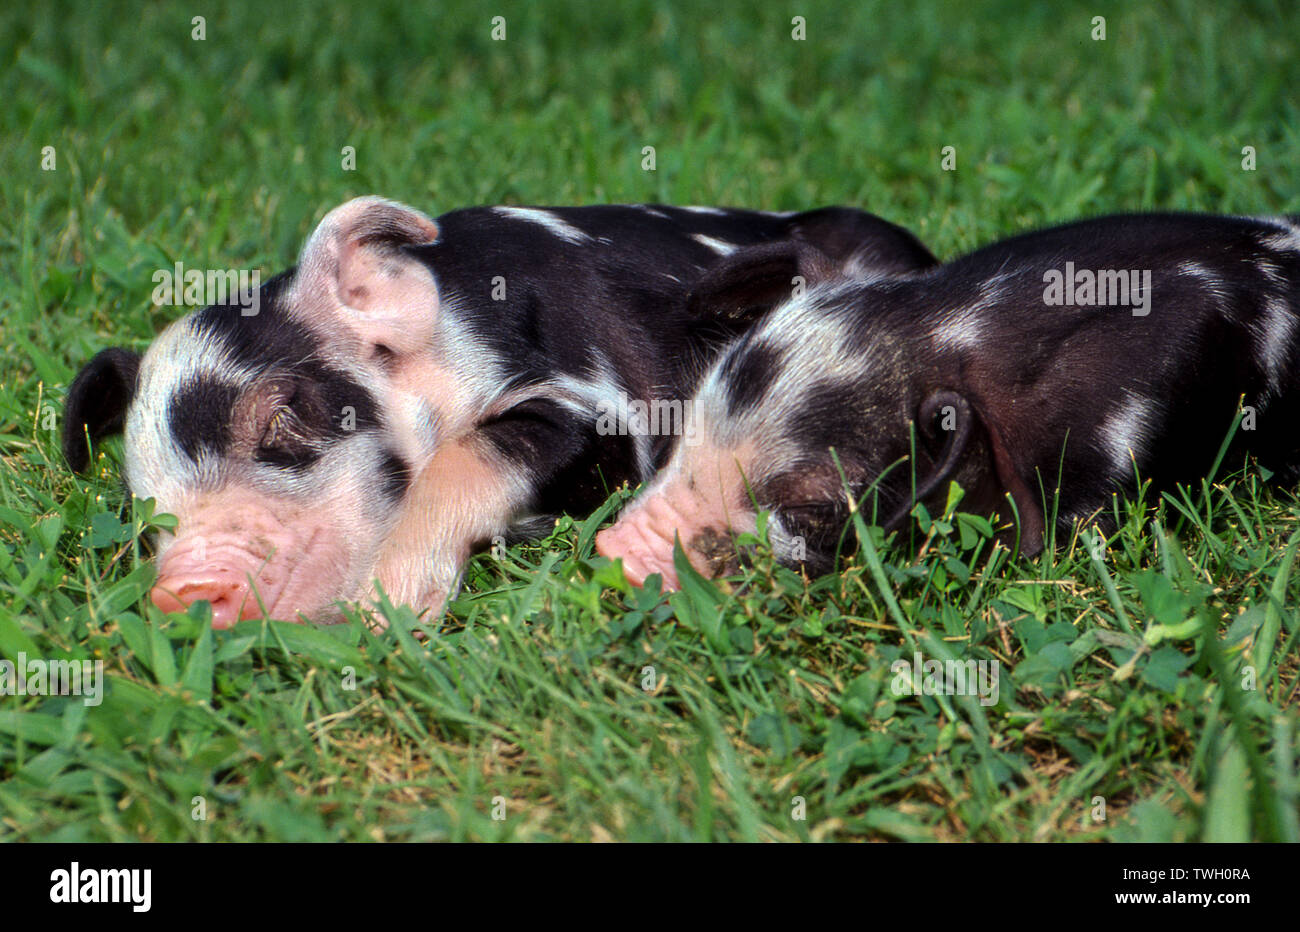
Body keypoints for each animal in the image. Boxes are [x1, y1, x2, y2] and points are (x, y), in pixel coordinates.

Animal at [63, 196, 937, 626]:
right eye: (144, 508)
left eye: (281, 417)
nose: (180, 591)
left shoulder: (600, 409)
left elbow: (467, 455)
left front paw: (385, 613)